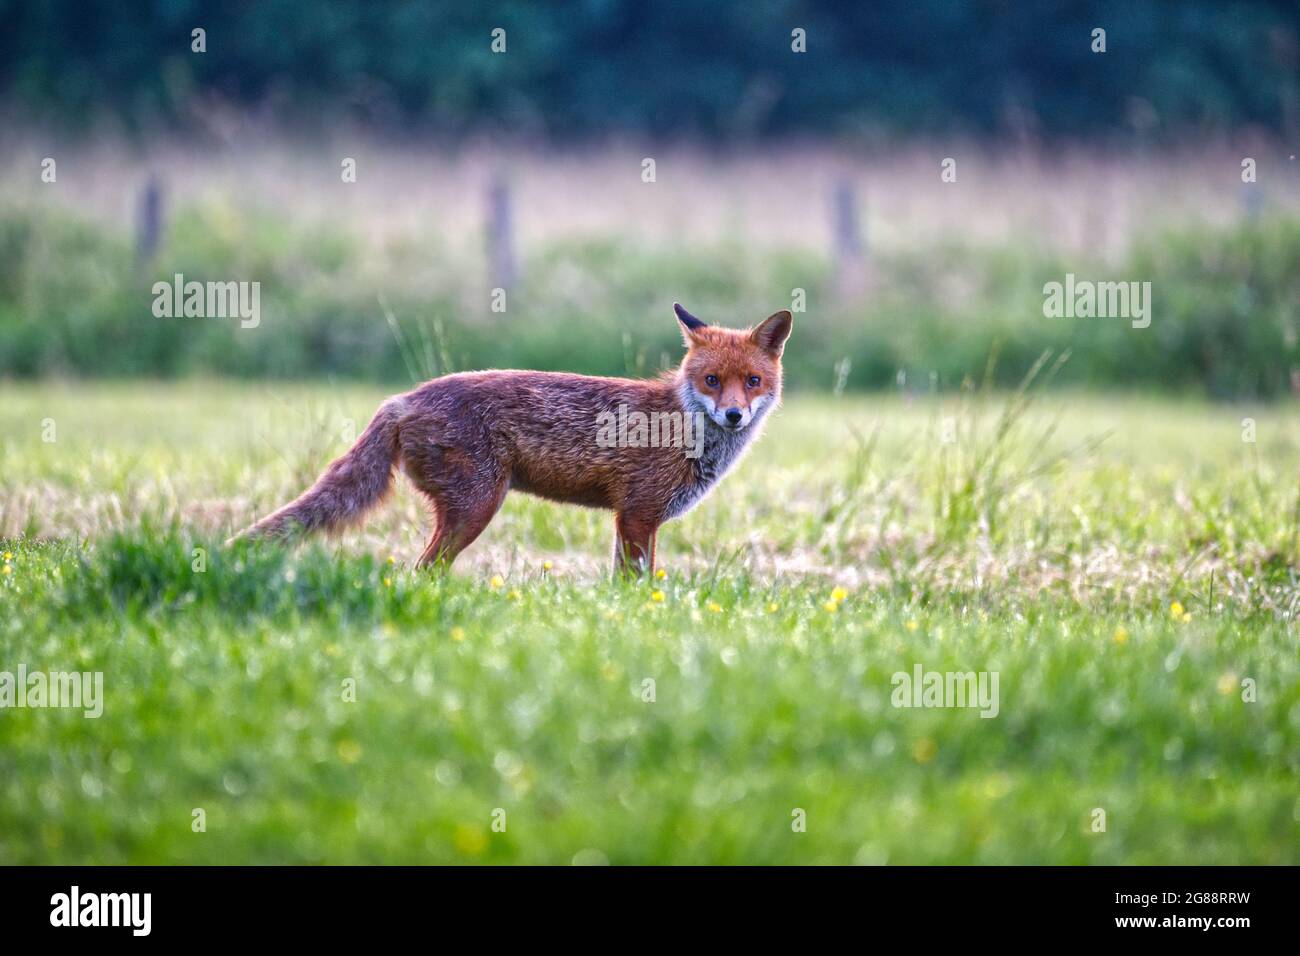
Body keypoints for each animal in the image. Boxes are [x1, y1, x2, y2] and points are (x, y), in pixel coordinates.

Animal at [231, 303, 793, 575]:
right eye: (712, 381)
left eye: (753, 381)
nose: (734, 415)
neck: (682, 427)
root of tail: (401, 399)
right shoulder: (638, 514)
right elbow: (637, 583)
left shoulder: (631, 518)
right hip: (478, 506)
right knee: (423, 571)